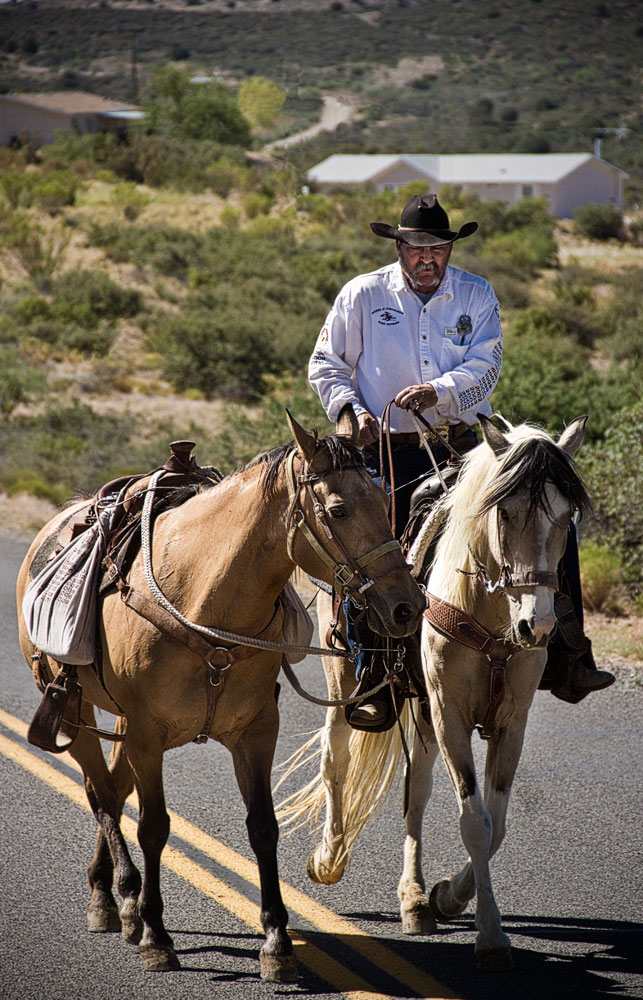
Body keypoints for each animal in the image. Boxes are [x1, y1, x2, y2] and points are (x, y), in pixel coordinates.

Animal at [15, 406, 425, 982]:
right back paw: (119, 898)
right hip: (74, 710)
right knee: (100, 792)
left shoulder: (255, 731)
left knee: (112, 791)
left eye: (387, 504)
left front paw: (276, 943)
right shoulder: (148, 735)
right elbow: (155, 827)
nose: (408, 606)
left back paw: (114, 899)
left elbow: (262, 827)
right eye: (339, 510)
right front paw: (157, 936)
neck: (205, 601)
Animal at [277, 414, 590, 971]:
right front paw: (491, 935)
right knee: (336, 760)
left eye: (565, 515)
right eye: (504, 510)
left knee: (415, 792)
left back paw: (415, 899)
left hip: (421, 713)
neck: (492, 621)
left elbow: (495, 824)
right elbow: (474, 823)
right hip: (349, 689)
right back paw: (329, 858)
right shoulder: (451, 715)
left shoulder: (510, 721)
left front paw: (448, 896)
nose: (537, 625)